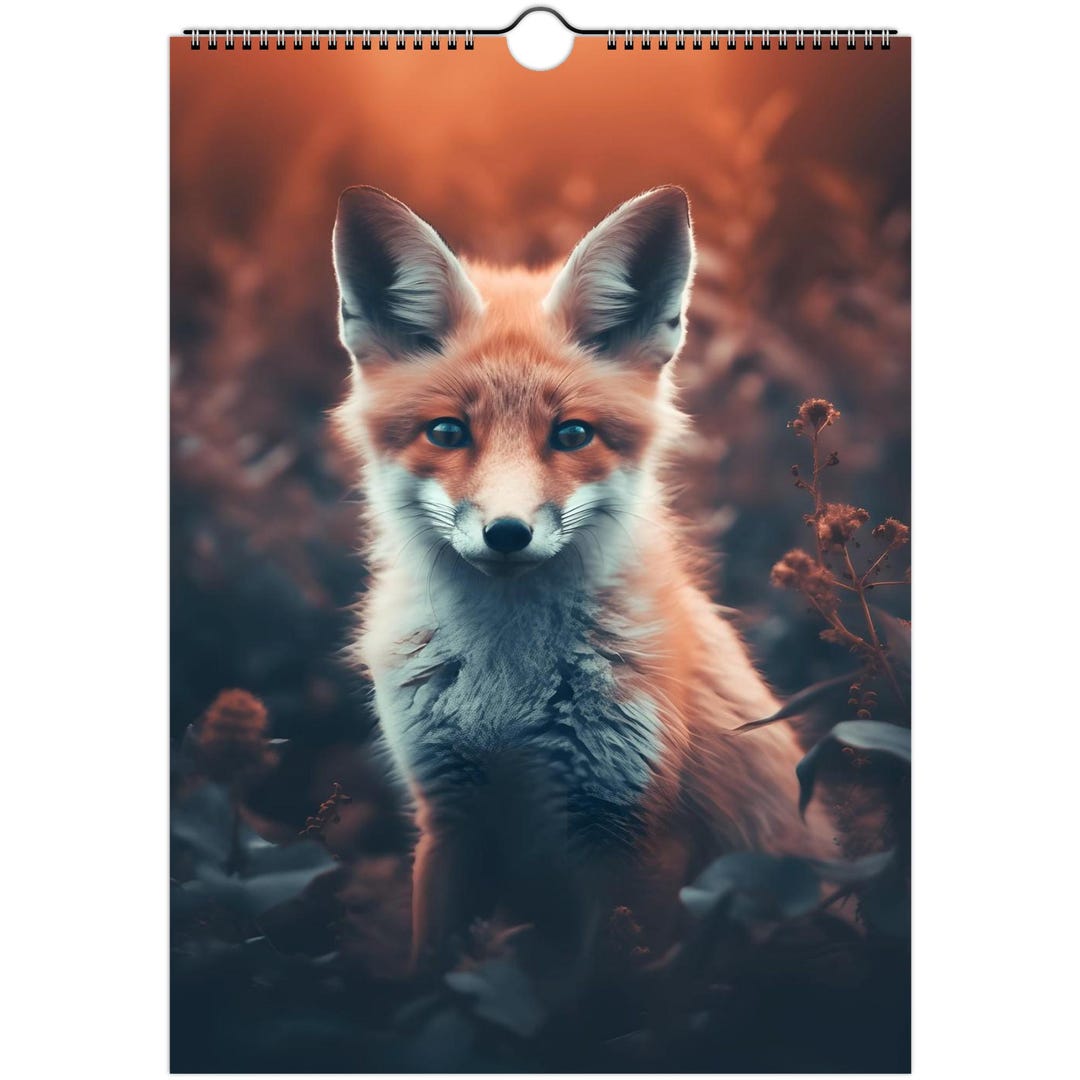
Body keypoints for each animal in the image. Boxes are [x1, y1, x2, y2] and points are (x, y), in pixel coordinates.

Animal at [330, 185, 828, 973]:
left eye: (571, 435)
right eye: (447, 432)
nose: (507, 533)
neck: (506, 692)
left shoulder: (633, 833)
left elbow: (609, 990)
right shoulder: (448, 817)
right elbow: (433, 973)